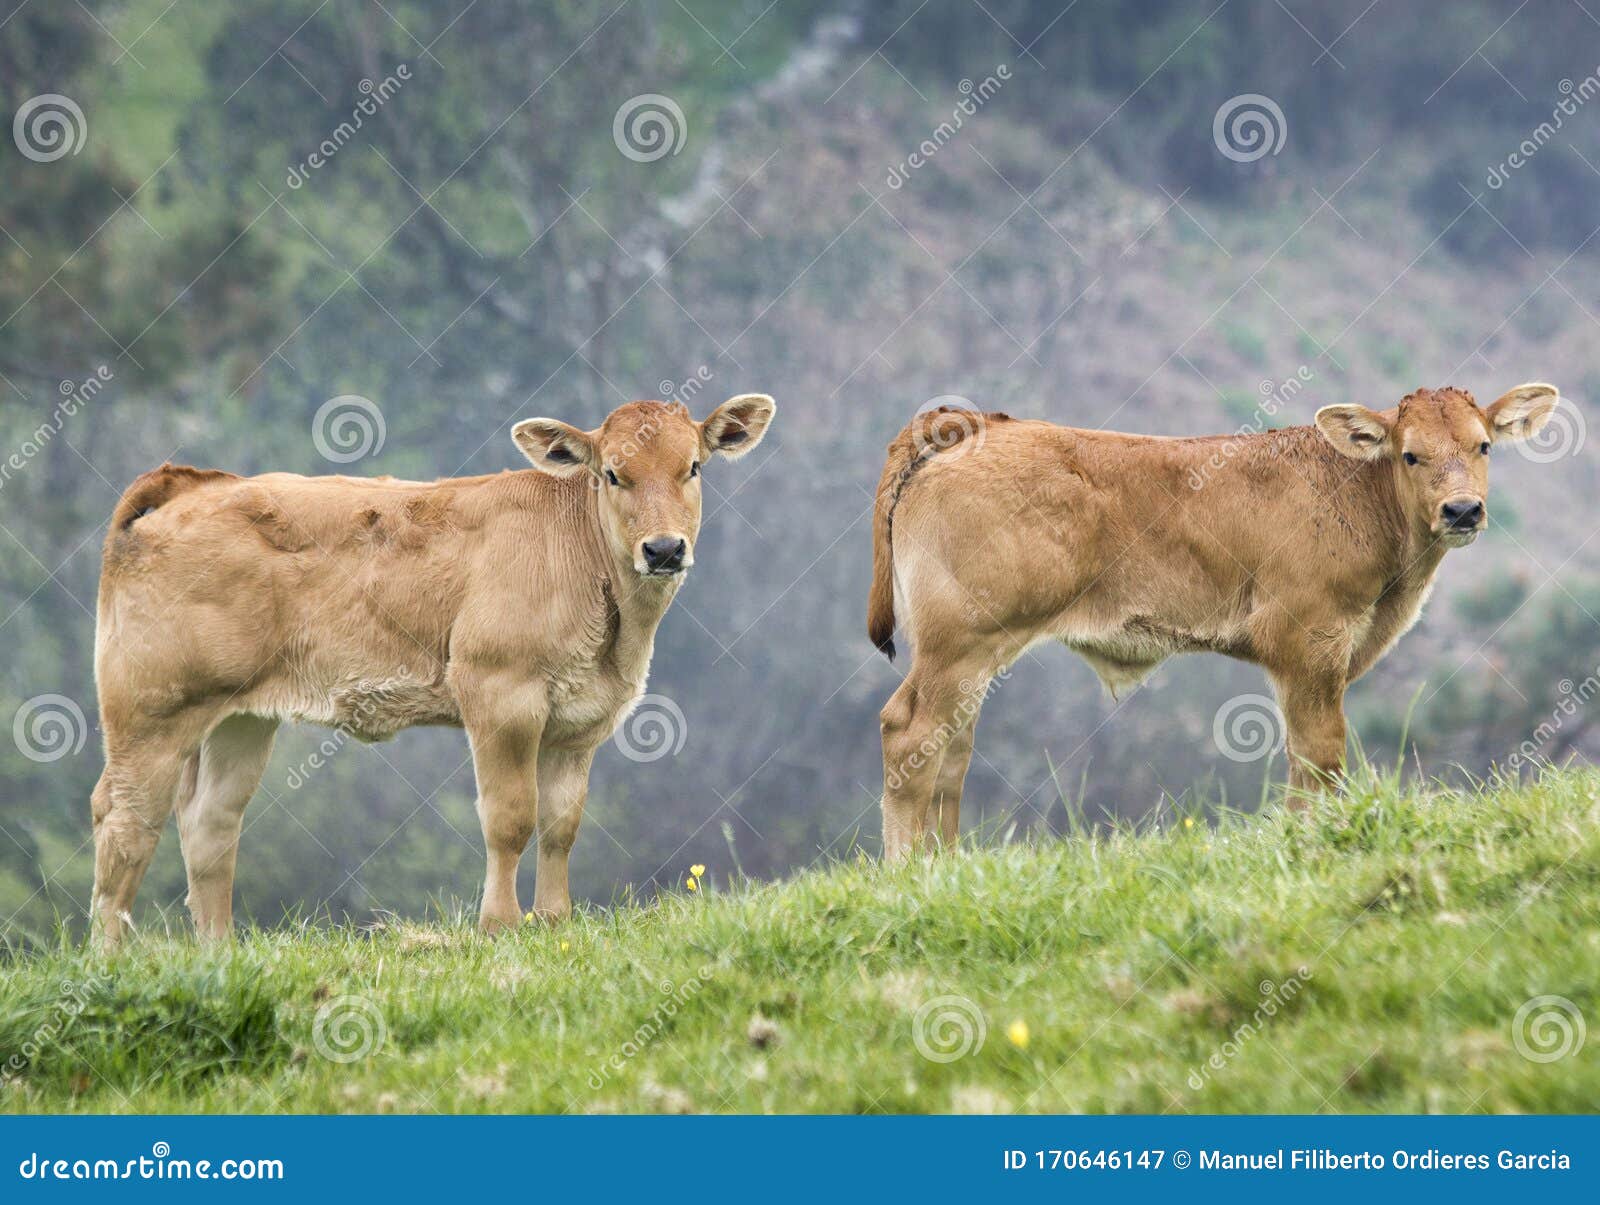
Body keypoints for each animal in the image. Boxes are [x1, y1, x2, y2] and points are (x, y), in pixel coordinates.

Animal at [89, 394, 776, 944]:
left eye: (693, 468)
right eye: (612, 473)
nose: (663, 549)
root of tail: (195, 484)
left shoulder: (580, 722)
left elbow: (561, 825)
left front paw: (555, 923)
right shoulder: (500, 693)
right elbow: (509, 818)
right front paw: (500, 926)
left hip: (240, 716)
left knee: (210, 823)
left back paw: (220, 954)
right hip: (151, 710)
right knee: (123, 820)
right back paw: (112, 961)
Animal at [866, 384, 1560, 857]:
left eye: (1484, 445)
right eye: (1410, 455)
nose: (1463, 510)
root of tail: (969, 423)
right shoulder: (1307, 640)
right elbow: (1319, 753)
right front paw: (1313, 842)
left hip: (974, 656)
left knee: (952, 749)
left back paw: (946, 866)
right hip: (961, 644)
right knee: (909, 732)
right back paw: (909, 874)